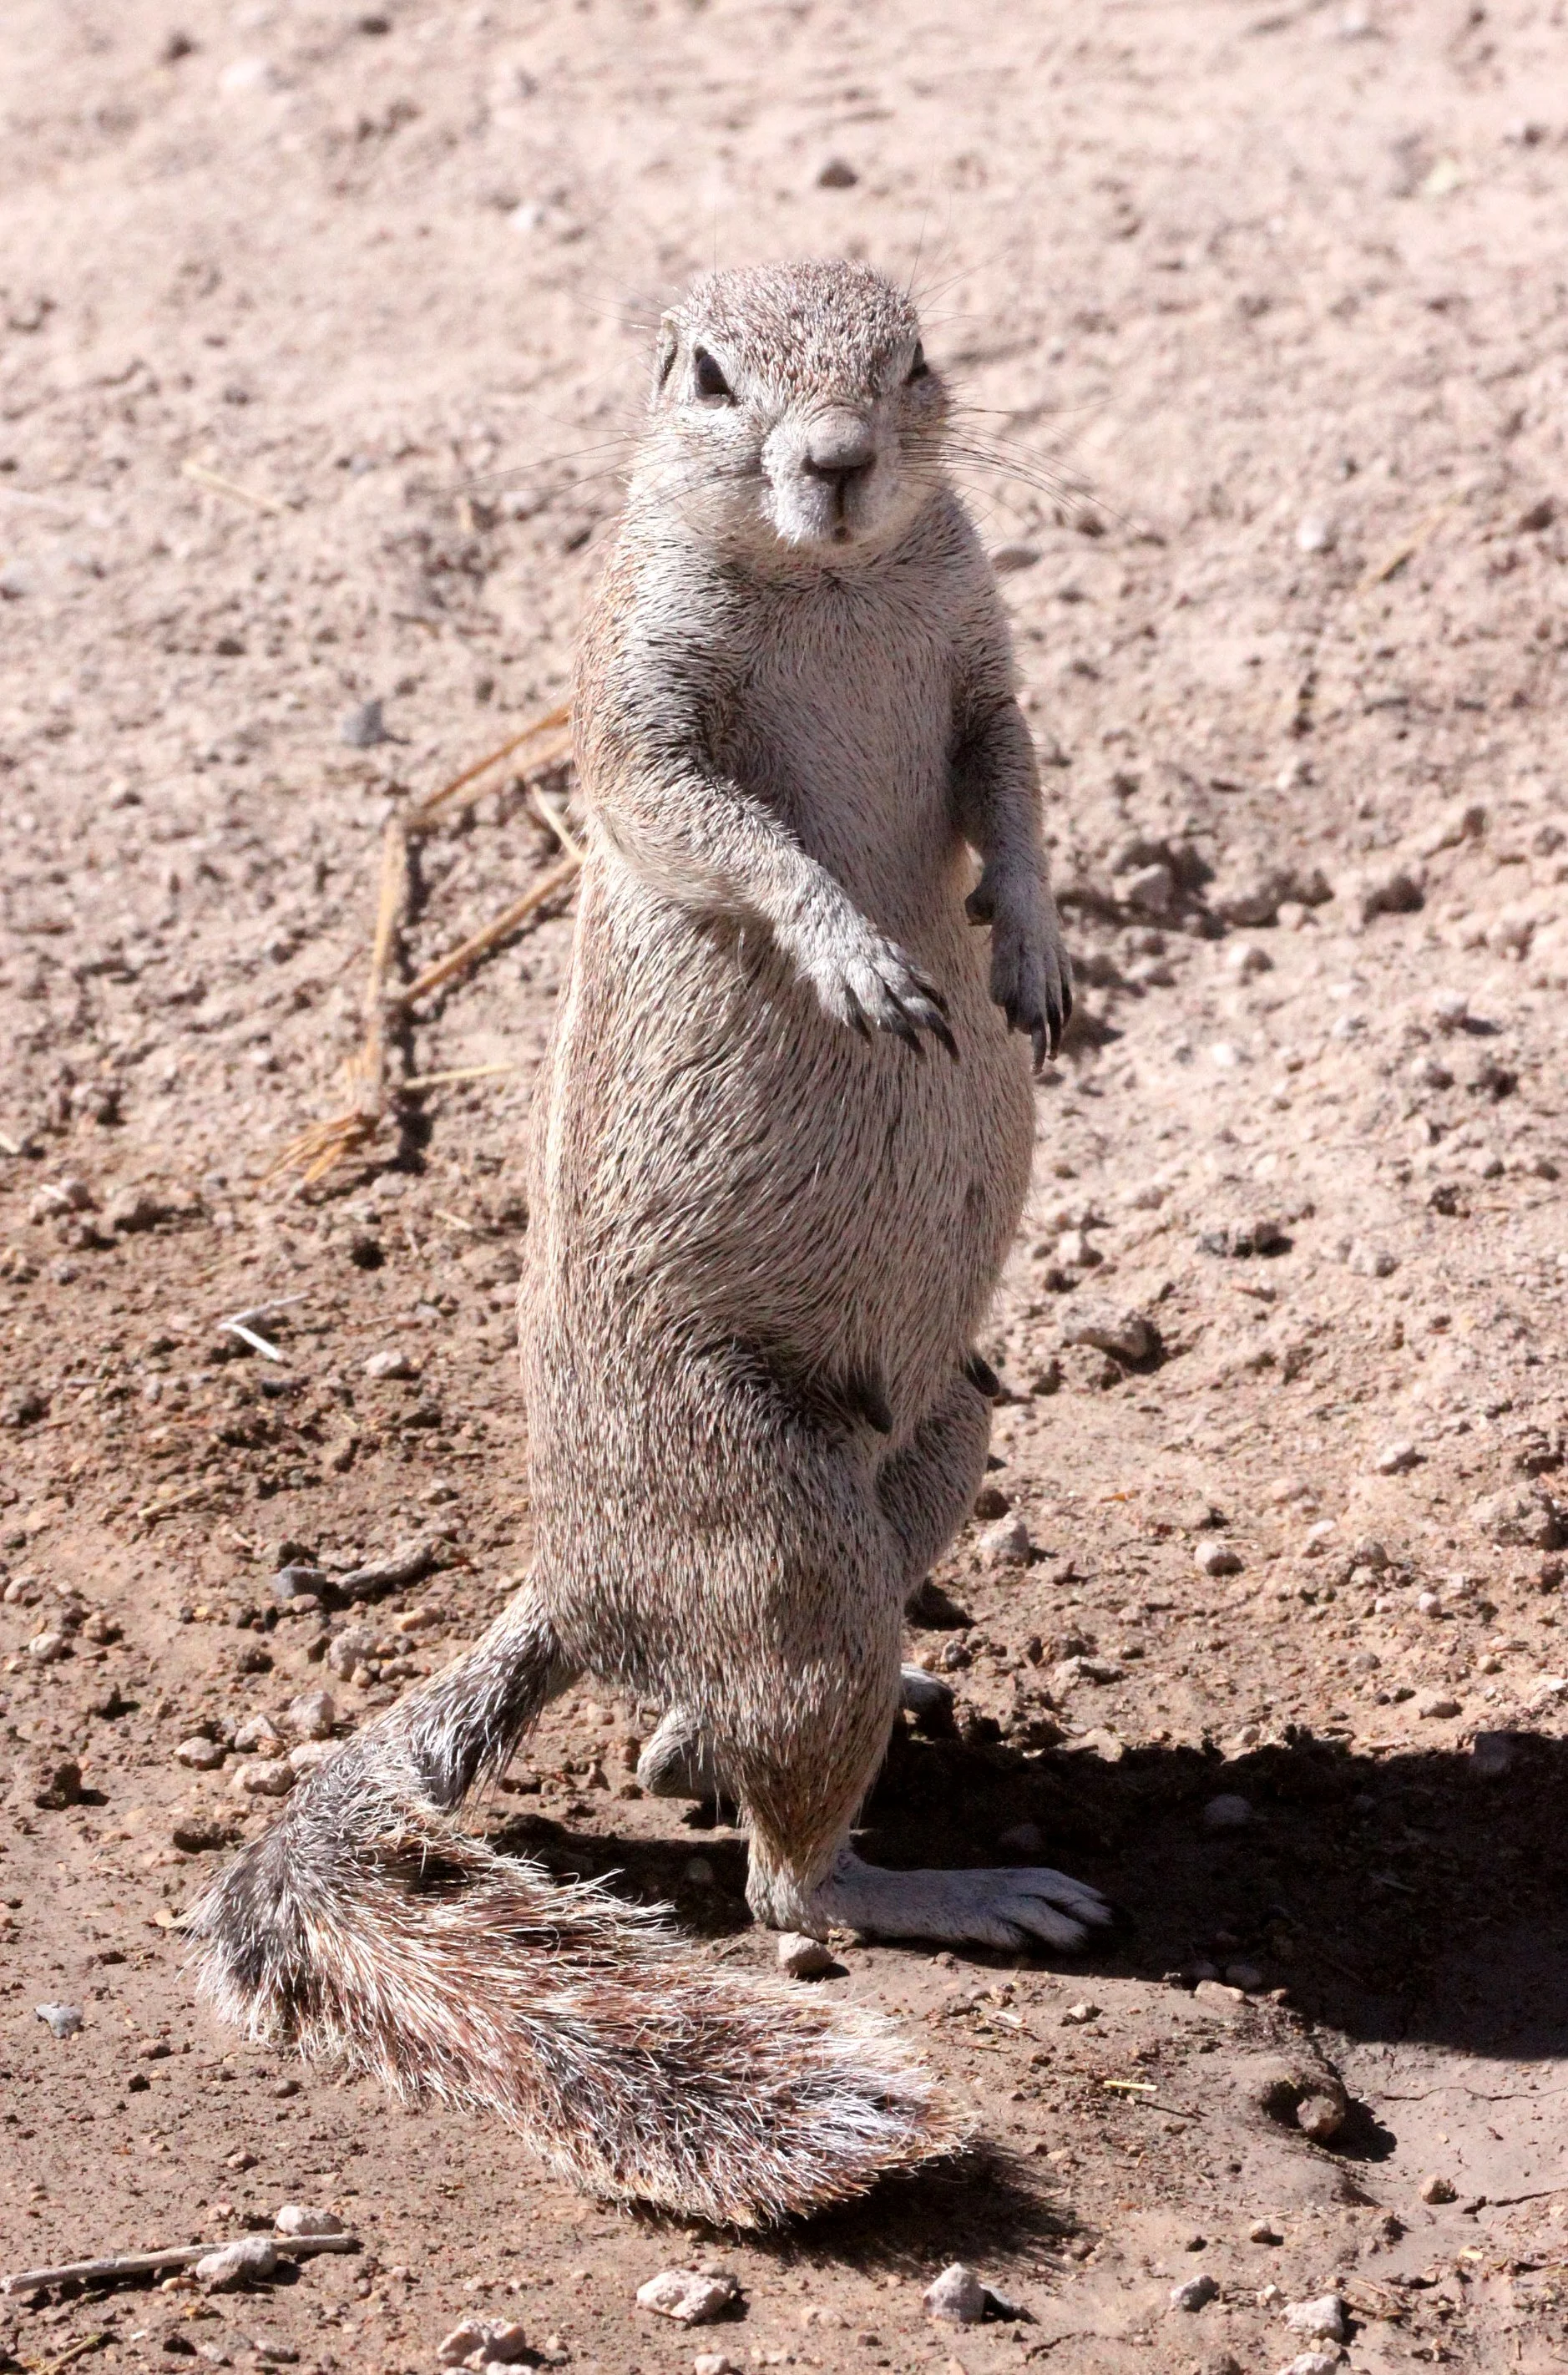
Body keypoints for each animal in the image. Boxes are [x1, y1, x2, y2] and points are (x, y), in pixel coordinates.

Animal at [189, 258, 1109, 2229]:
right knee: (783, 1878)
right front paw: (854, 955)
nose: (834, 461)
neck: (833, 582)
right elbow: (717, 822)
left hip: (942, 1432)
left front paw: (1035, 946)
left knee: (721, 1718)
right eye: (705, 374)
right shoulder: (639, 700)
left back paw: (797, 1720)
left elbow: (1013, 775)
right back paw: (945, 1882)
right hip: (773, 1548)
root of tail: (579, 1577)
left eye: (913, 360)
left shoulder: (984, 653)